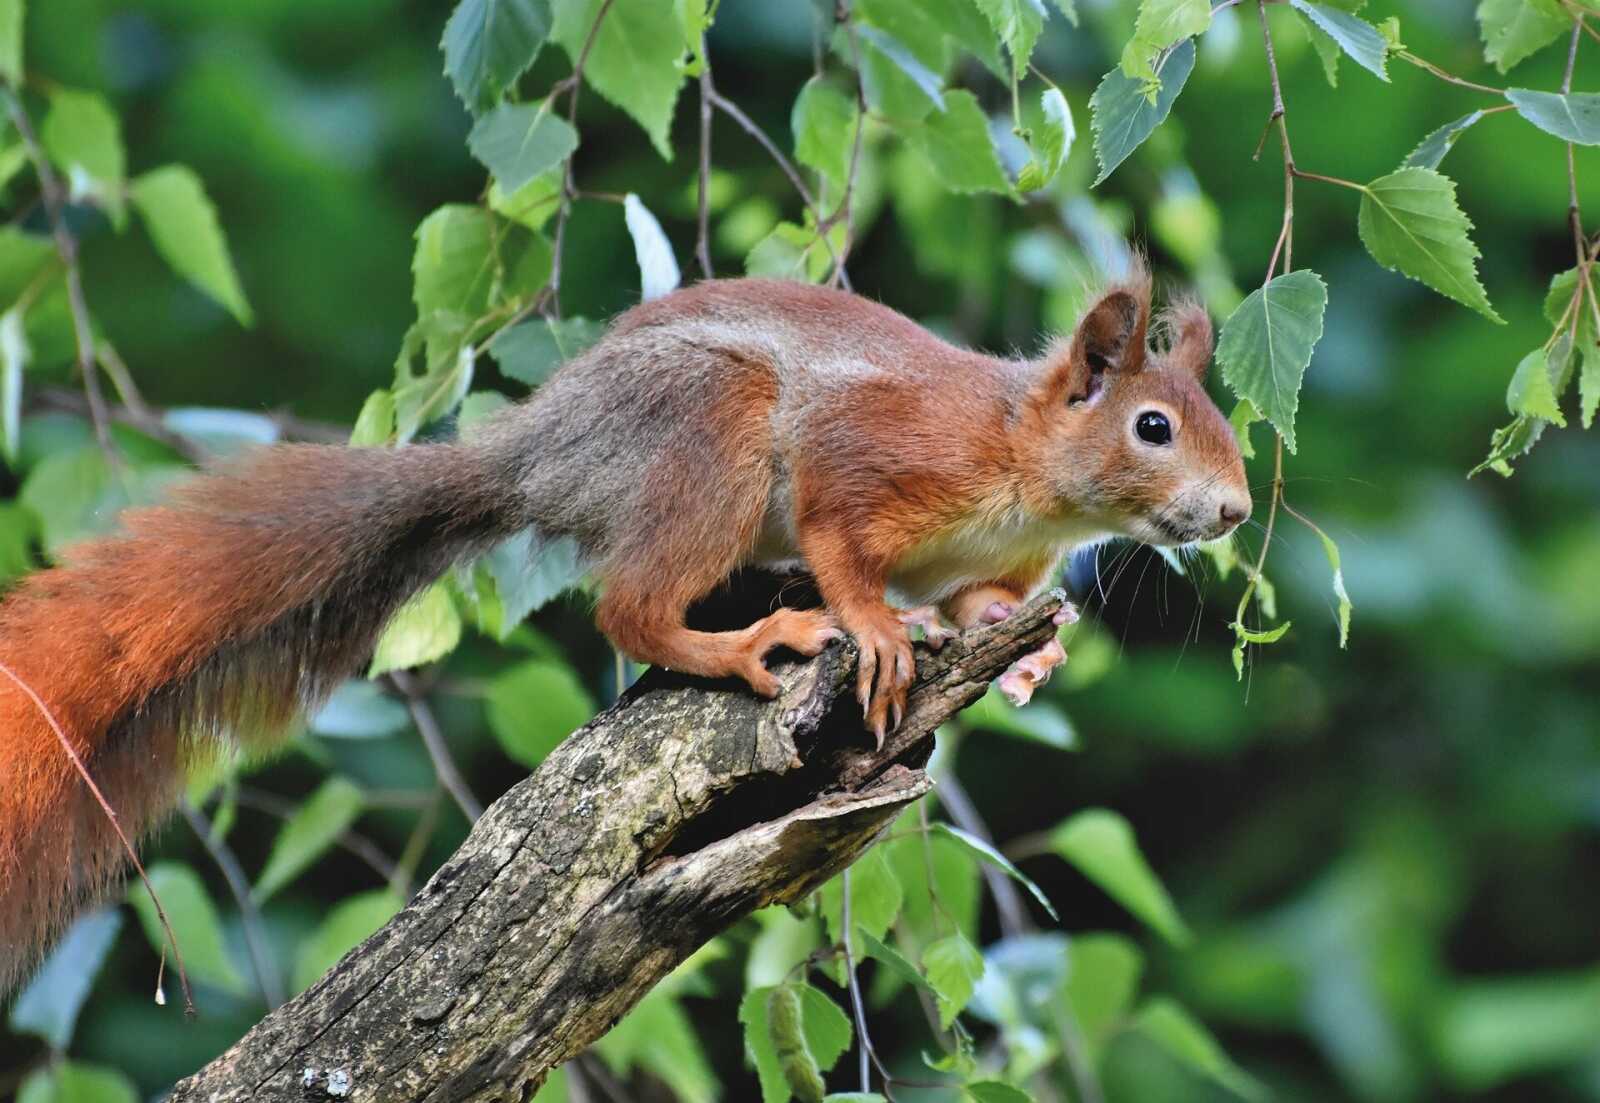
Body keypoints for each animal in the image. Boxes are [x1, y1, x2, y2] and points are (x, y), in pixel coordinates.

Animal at [0, 266, 1249, 992]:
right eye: (1151, 425)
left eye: (1220, 424)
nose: (1238, 510)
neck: (1026, 471)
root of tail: (541, 452)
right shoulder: (871, 451)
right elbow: (845, 541)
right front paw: (875, 627)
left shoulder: (986, 561)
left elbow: (979, 604)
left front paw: (1030, 652)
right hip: (707, 438)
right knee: (628, 607)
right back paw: (741, 644)